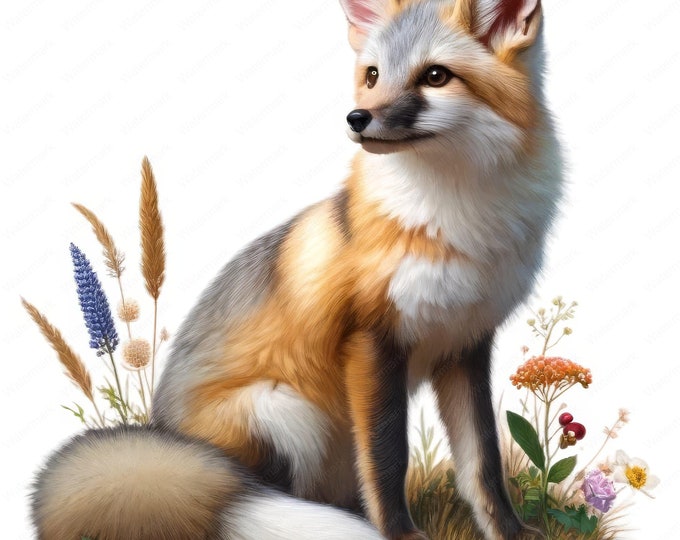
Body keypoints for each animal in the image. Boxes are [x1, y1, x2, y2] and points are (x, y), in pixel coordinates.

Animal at [31, 0, 562, 539]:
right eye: (372, 76)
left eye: (435, 76)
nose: (356, 117)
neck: (454, 224)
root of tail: (163, 433)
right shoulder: (372, 340)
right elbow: (388, 458)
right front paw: (401, 535)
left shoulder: (465, 343)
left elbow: (482, 463)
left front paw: (511, 533)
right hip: (286, 414)